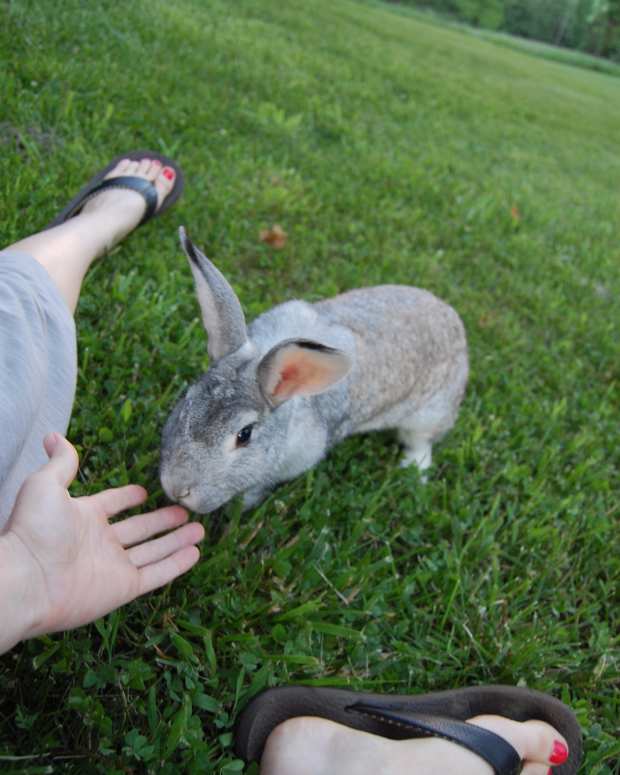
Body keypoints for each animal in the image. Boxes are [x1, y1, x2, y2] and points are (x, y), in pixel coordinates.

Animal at [160, 227, 468, 514]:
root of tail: (452, 317)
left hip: (429, 413)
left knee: (421, 441)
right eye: (187, 398)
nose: (177, 488)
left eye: (244, 434)